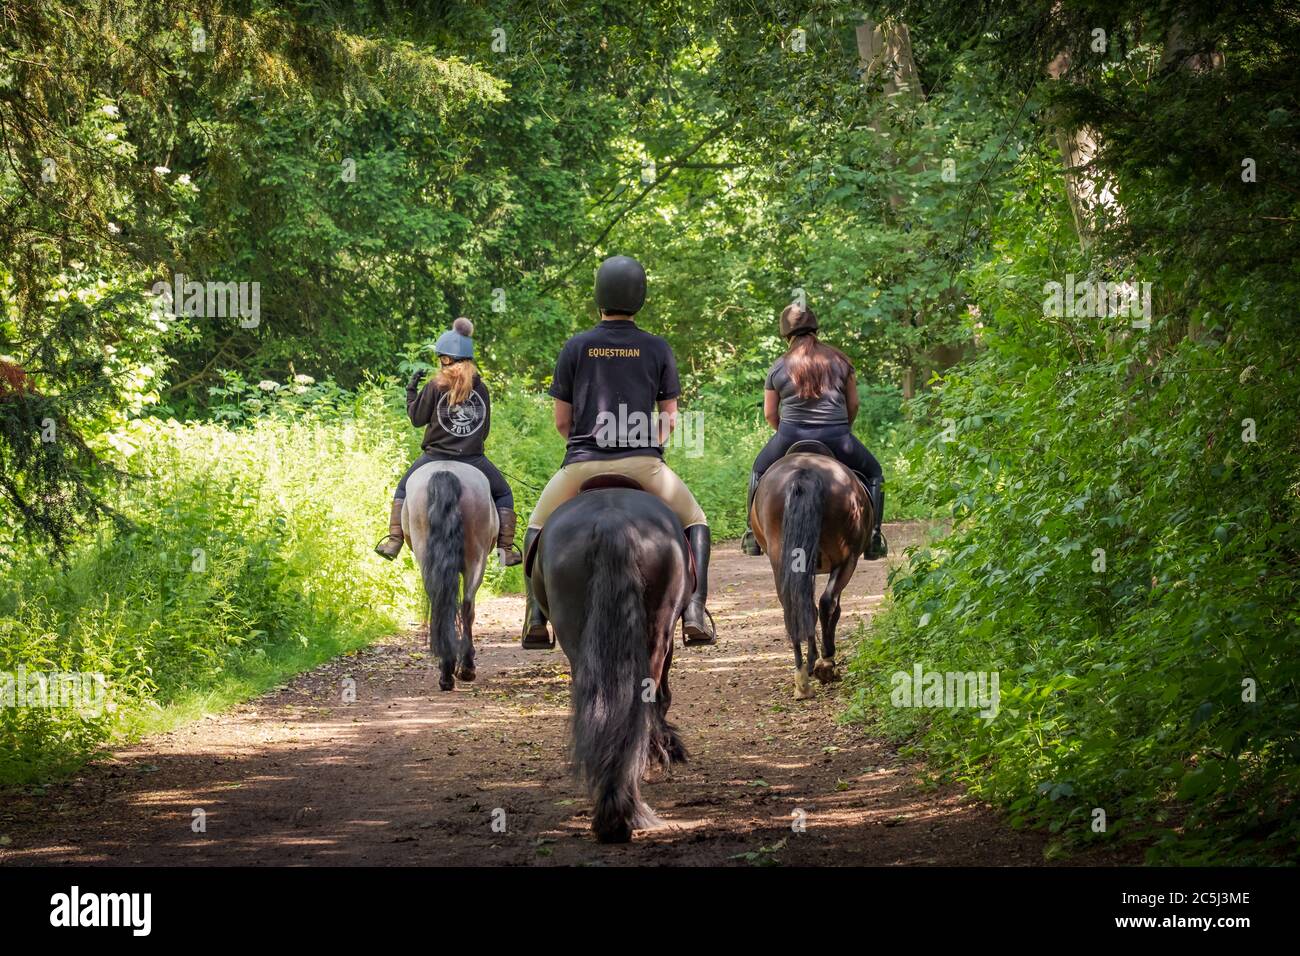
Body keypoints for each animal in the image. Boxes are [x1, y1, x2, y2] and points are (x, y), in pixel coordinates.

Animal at [402, 461, 498, 692]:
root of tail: (446, 470)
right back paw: (462, 668)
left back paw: (449, 669)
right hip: (476, 559)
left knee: (449, 603)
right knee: (466, 605)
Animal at [529, 479, 692, 843]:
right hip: (658, 631)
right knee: (648, 693)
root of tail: (611, 523)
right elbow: (663, 695)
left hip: (577, 635)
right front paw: (665, 749)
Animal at [749, 441, 873, 700]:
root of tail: (804, 473)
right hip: (846, 559)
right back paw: (825, 663)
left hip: (782, 560)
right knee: (827, 603)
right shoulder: (845, 561)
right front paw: (824, 660)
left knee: (793, 605)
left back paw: (801, 678)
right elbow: (831, 607)